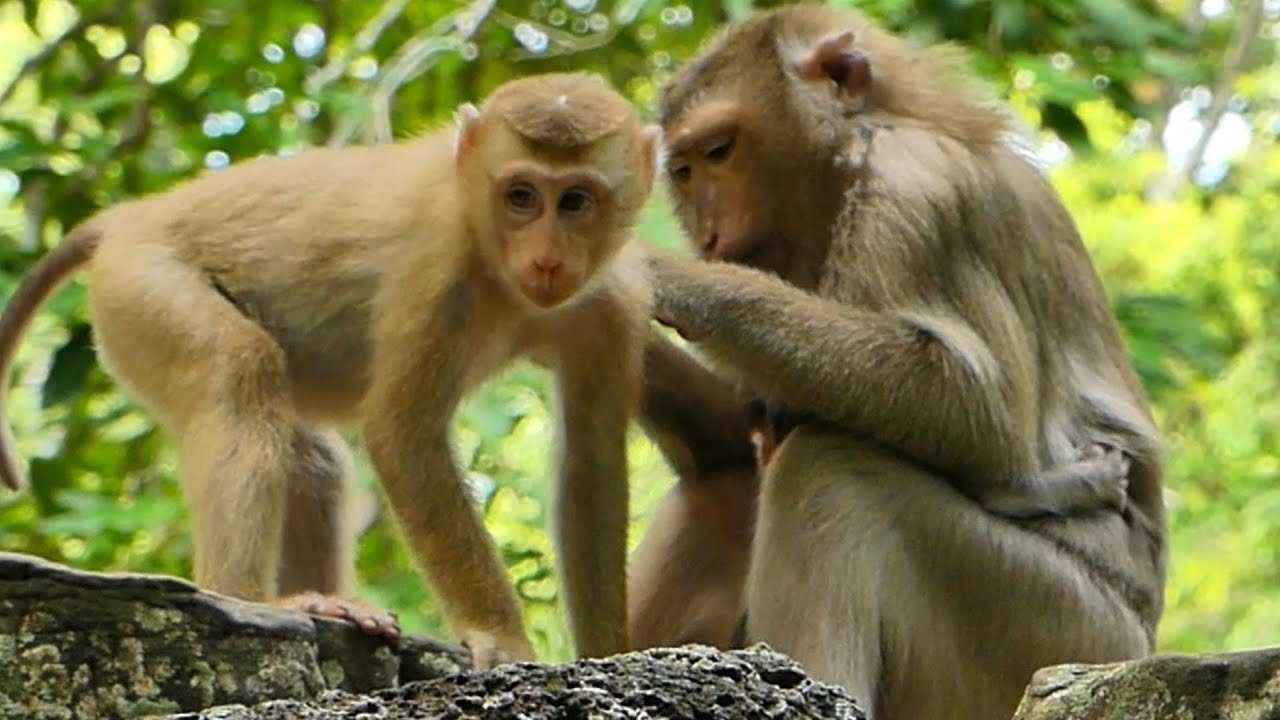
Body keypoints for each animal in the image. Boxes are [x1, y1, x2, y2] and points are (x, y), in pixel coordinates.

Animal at [0, 72, 658, 669]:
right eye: (520, 195)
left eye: (574, 201)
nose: (546, 260)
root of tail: (131, 217)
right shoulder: (437, 265)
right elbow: (403, 436)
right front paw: (501, 637)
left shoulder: (612, 305)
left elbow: (592, 469)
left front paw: (607, 649)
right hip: (139, 286)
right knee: (235, 371)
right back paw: (252, 602)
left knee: (311, 458)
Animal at [632, 7, 1168, 720]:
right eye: (686, 171)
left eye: (720, 151)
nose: (710, 233)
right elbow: (736, 422)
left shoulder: (915, 190)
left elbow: (976, 408)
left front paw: (671, 280)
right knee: (726, 479)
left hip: (1046, 626)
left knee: (832, 472)